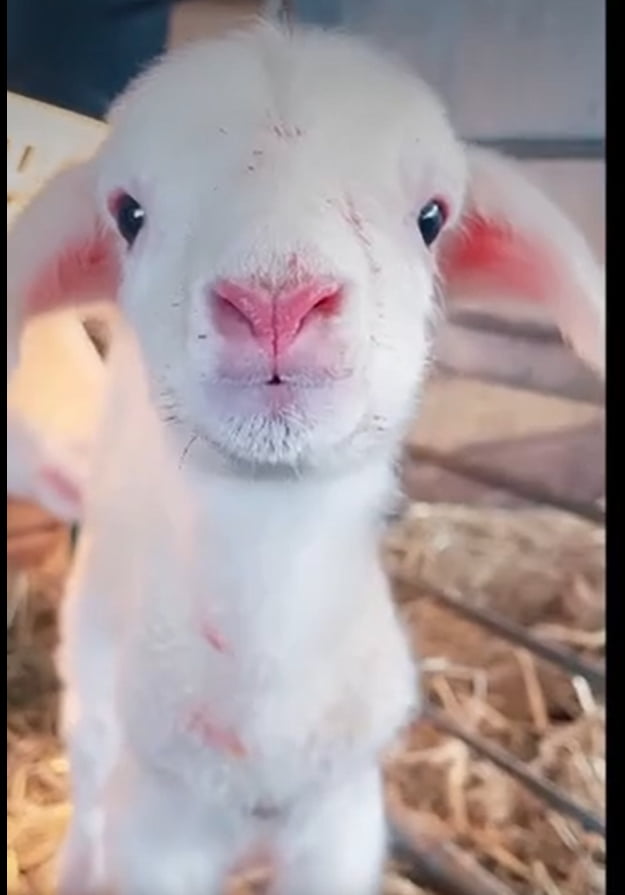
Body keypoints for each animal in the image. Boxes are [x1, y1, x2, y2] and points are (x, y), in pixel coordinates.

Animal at [6, 21, 604, 895]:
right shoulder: (156, 833)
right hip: (93, 659)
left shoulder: (342, 826)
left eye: (431, 216)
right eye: (129, 214)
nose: (274, 302)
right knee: (87, 771)